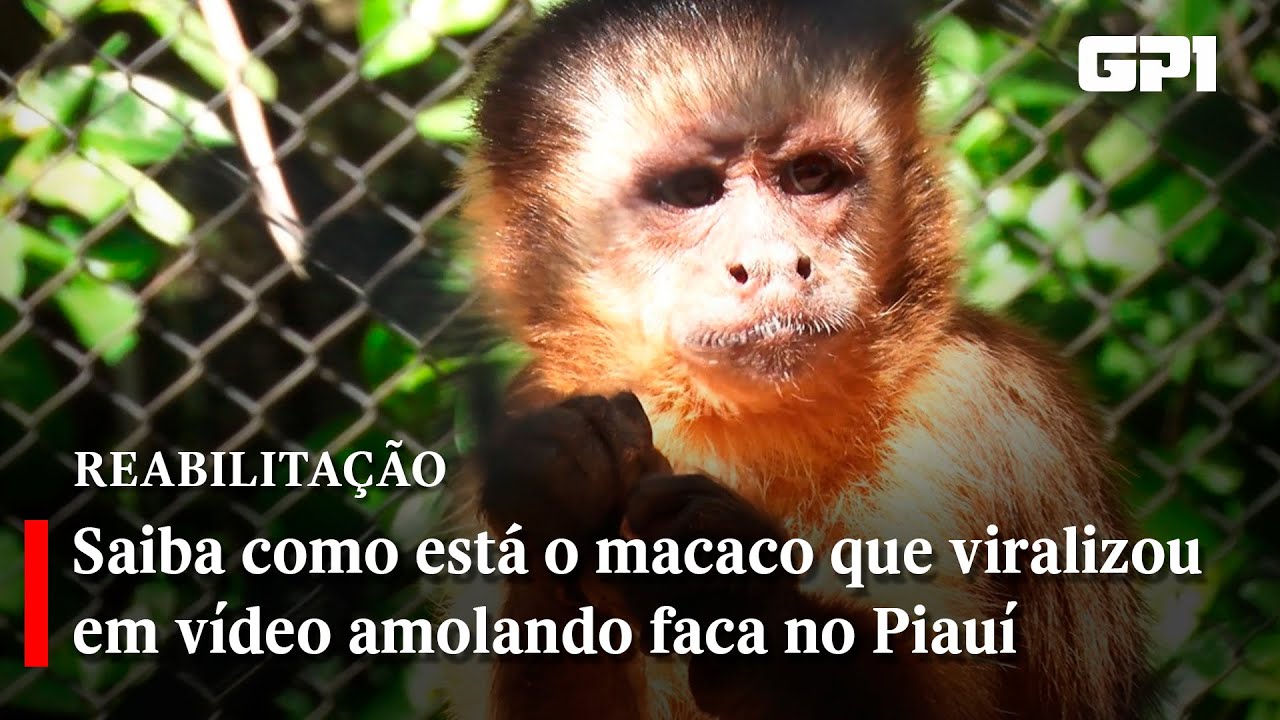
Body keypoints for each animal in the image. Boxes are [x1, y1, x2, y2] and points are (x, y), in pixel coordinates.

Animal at [444, 0, 1154, 718]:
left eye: (811, 175)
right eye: (691, 190)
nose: (771, 262)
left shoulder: (1002, 402)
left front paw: (730, 586)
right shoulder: (527, 408)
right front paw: (558, 496)